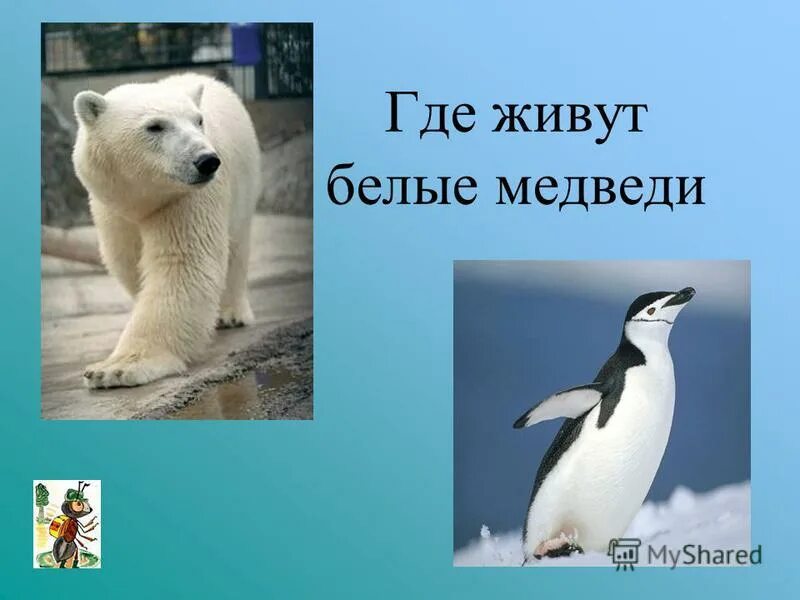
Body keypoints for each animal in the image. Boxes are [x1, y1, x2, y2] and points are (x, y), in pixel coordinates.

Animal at [72, 73, 262, 389]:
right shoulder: (111, 207)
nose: (207, 160)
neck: (144, 198)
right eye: (155, 126)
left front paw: (115, 369)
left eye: (198, 120)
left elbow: (182, 264)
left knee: (237, 248)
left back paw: (231, 314)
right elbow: (128, 261)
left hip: (244, 185)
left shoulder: (188, 198)